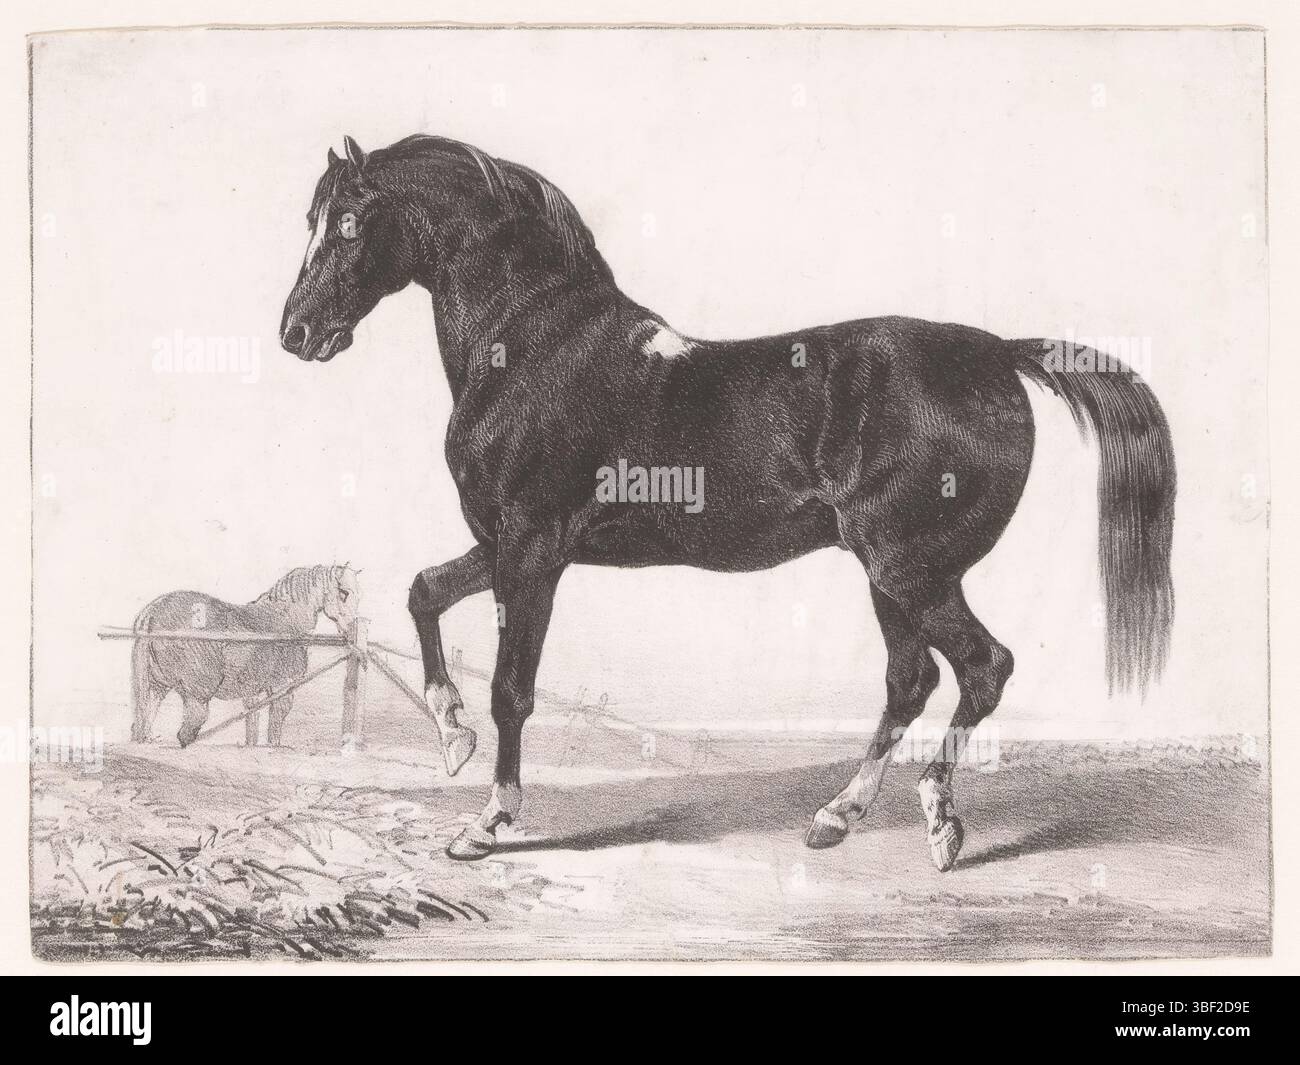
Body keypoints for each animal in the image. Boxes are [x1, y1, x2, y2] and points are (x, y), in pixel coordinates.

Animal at [129, 565, 360, 747]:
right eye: (344, 592)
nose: (351, 631)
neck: (285, 620)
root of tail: (151, 611)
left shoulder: (253, 691)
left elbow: (254, 724)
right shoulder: (283, 686)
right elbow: (276, 721)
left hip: (157, 685)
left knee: (145, 718)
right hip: (198, 690)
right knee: (188, 726)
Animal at [279, 135, 1174, 870]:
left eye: (350, 222)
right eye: (313, 218)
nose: (296, 332)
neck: (535, 344)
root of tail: (996, 354)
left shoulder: (533, 550)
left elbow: (513, 686)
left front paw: (487, 823)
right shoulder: (505, 543)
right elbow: (424, 591)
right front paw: (453, 736)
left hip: (908, 568)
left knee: (982, 667)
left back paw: (937, 824)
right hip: (896, 576)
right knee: (911, 677)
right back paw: (836, 818)